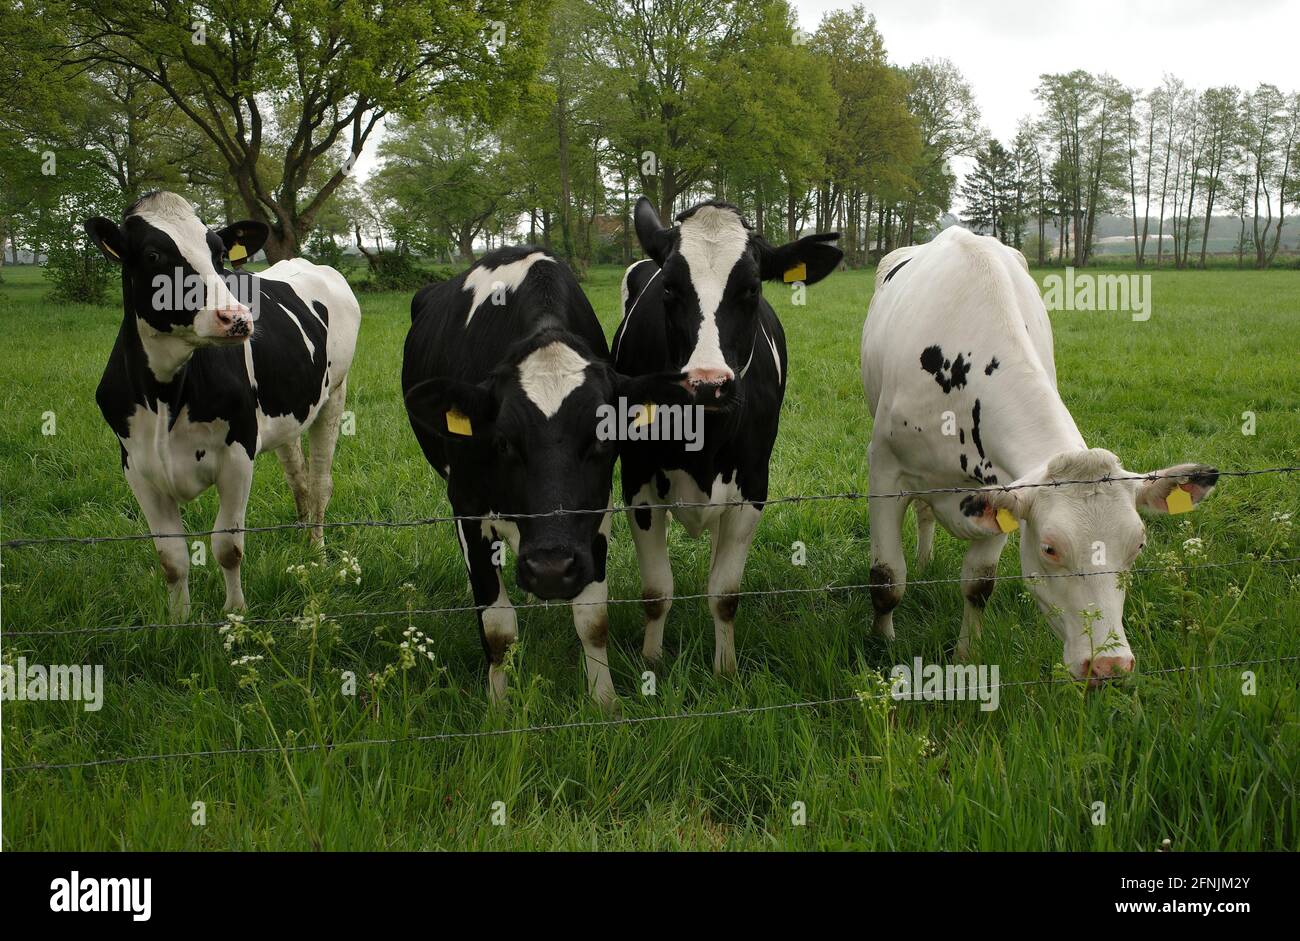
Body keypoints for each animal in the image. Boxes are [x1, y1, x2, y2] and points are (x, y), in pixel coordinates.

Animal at [84, 191, 361, 619]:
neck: (165, 394)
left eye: (217, 253)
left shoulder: (237, 455)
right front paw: (179, 621)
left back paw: (316, 551)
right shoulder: (136, 467)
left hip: (334, 395)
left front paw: (235, 614)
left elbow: (227, 547)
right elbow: (171, 558)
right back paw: (301, 538)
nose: (236, 318)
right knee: (297, 477)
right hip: (287, 415)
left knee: (319, 482)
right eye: (153, 255)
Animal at [402, 246, 687, 708]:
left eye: (604, 438)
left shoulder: (595, 510)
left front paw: (604, 700)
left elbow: (593, 618)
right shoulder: (465, 503)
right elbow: (497, 626)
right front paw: (498, 708)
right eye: (502, 442)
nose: (550, 569)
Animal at [612, 198, 843, 674]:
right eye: (669, 289)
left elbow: (725, 593)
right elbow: (656, 590)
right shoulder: (636, 481)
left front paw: (725, 669)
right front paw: (651, 662)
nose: (708, 383)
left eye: (752, 289)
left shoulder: (754, 484)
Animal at [860, 225, 1218, 684]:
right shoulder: (885, 471)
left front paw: (965, 655)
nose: (1109, 664)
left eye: (1138, 546)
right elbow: (888, 579)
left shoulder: (999, 488)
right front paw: (883, 645)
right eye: (1050, 548)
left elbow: (979, 584)